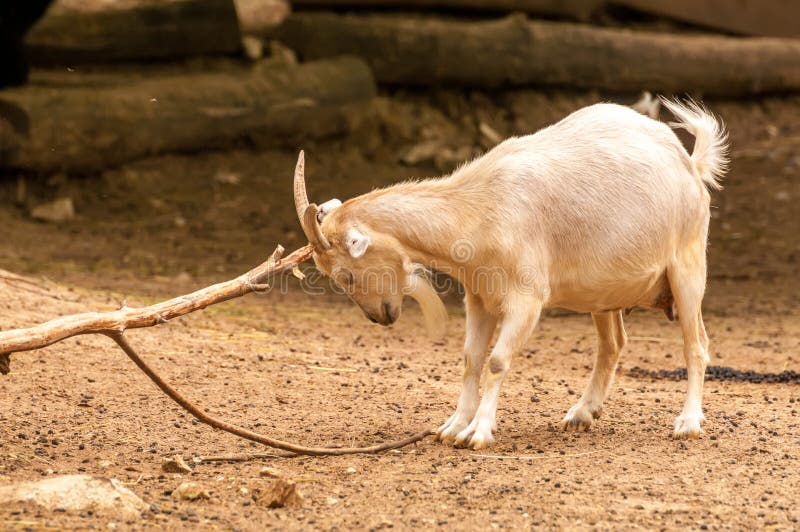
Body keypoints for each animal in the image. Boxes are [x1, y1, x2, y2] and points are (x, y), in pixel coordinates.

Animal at [292, 98, 728, 449]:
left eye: (345, 275)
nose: (380, 316)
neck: (478, 207)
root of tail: (690, 163)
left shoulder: (526, 299)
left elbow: (497, 361)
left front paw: (478, 432)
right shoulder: (479, 297)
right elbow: (471, 359)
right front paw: (452, 427)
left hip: (687, 267)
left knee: (697, 344)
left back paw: (688, 423)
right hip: (603, 292)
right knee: (613, 344)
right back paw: (581, 413)